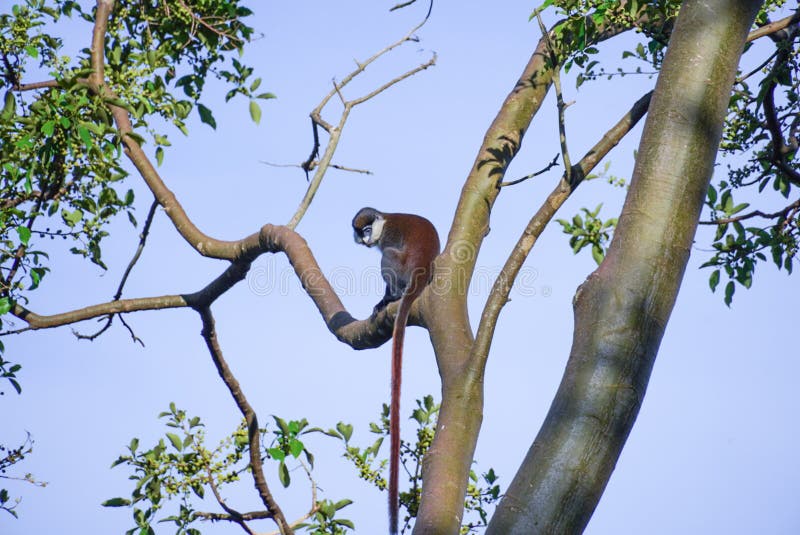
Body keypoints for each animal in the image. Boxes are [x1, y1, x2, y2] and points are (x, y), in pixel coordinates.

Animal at [352, 207, 440, 535]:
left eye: (367, 230)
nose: (364, 239)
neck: (384, 220)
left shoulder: (387, 238)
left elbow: (385, 251)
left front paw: (385, 298)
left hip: (399, 265)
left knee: (388, 259)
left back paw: (392, 298)